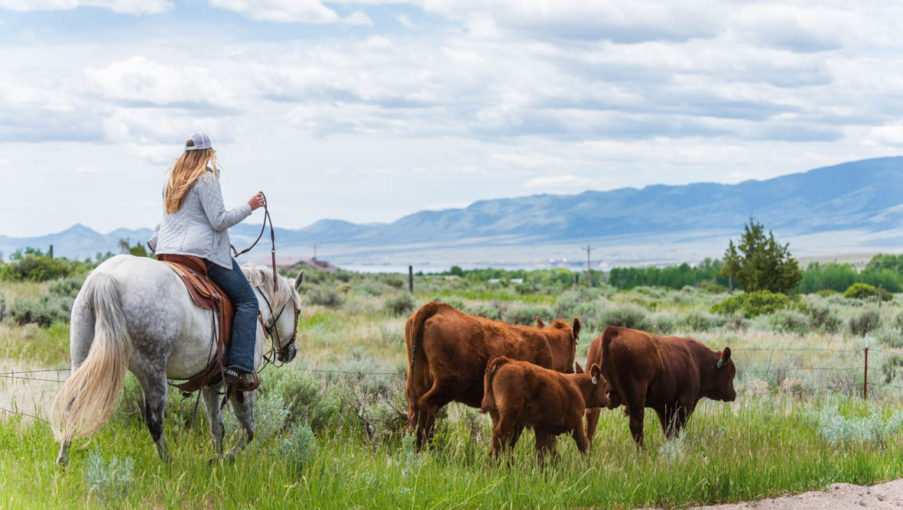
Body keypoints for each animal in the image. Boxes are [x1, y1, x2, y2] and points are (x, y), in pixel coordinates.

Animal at [405, 301, 580, 450]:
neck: (549, 344)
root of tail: (437, 307)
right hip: (446, 385)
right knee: (427, 407)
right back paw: (429, 451)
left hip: (420, 382)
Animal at [479, 356, 609, 466]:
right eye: (604, 384)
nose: (608, 399)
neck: (577, 386)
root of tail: (508, 361)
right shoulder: (576, 424)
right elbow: (583, 446)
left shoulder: (542, 428)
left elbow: (544, 452)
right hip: (509, 418)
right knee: (499, 436)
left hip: (505, 419)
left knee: (507, 443)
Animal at [598, 326, 736, 447]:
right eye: (731, 373)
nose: (733, 394)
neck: (697, 361)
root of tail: (614, 331)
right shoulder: (685, 405)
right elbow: (677, 430)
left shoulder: (663, 407)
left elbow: (668, 431)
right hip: (636, 397)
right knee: (636, 426)